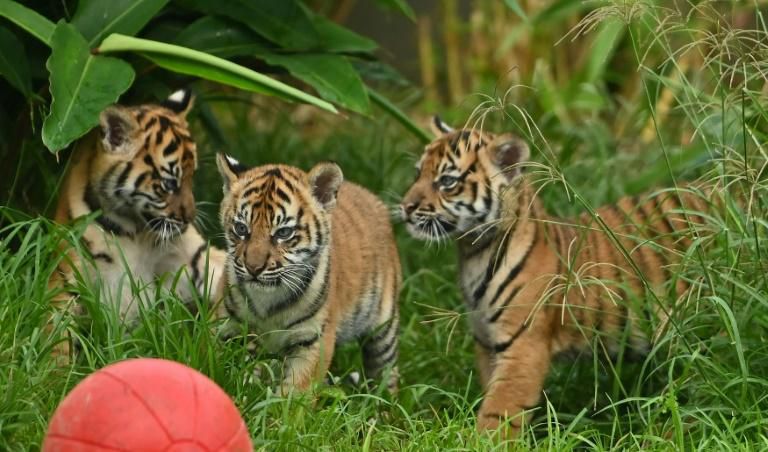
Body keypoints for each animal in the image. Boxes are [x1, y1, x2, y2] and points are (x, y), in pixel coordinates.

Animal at [49, 89, 226, 363]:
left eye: (191, 176)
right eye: (169, 183)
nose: (190, 218)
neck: (133, 229)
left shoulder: (195, 257)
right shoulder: (68, 274)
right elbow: (56, 331)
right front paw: (56, 367)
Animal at [214, 154, 402, 394]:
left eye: (284, 233)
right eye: (241, 229)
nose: (254, 268)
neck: (268, 299)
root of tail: (369, 194)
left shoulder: (313, 339)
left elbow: (297, 392)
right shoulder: (226, 325)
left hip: (383, 329)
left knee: (387, 374)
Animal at [400, 116, 709, 437]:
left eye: (447, 181)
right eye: (418, 173)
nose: (406, 207)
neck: (474, 251)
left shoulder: (522, 346)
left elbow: (499, 413)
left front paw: (480, 441)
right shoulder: (487, 344)